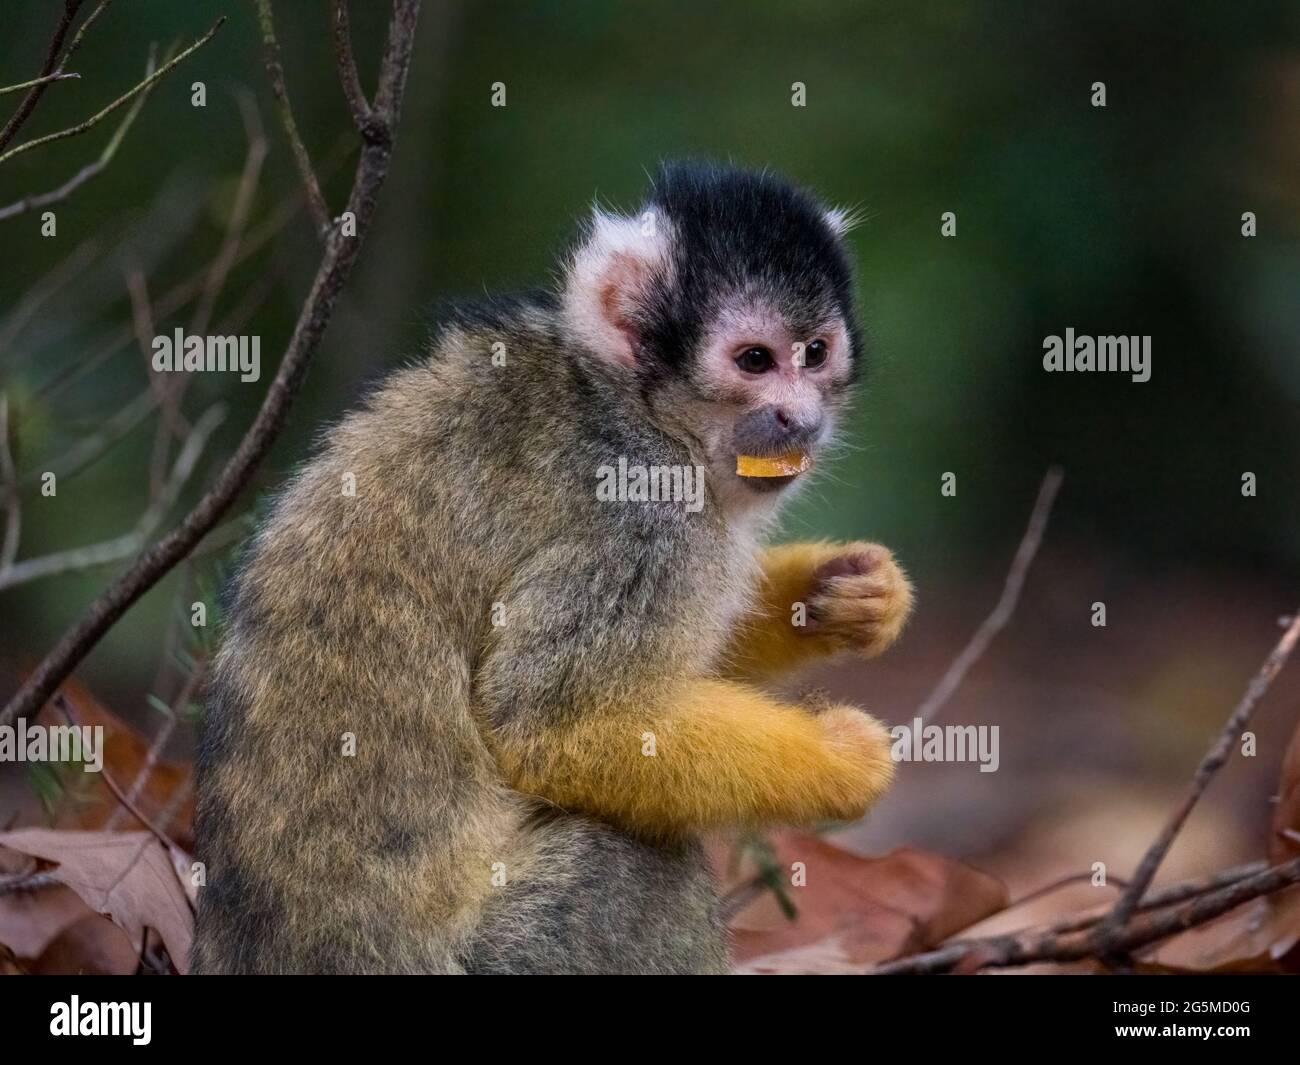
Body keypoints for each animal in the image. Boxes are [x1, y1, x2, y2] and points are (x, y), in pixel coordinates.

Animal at [190, 161, 913, 975]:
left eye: (814, 352)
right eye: (755, 360)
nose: (800, 419)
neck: (632, 404)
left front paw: (844, 594)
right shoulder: (637, 514)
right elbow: (554, 720)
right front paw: (841, 760)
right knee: (632, 858)